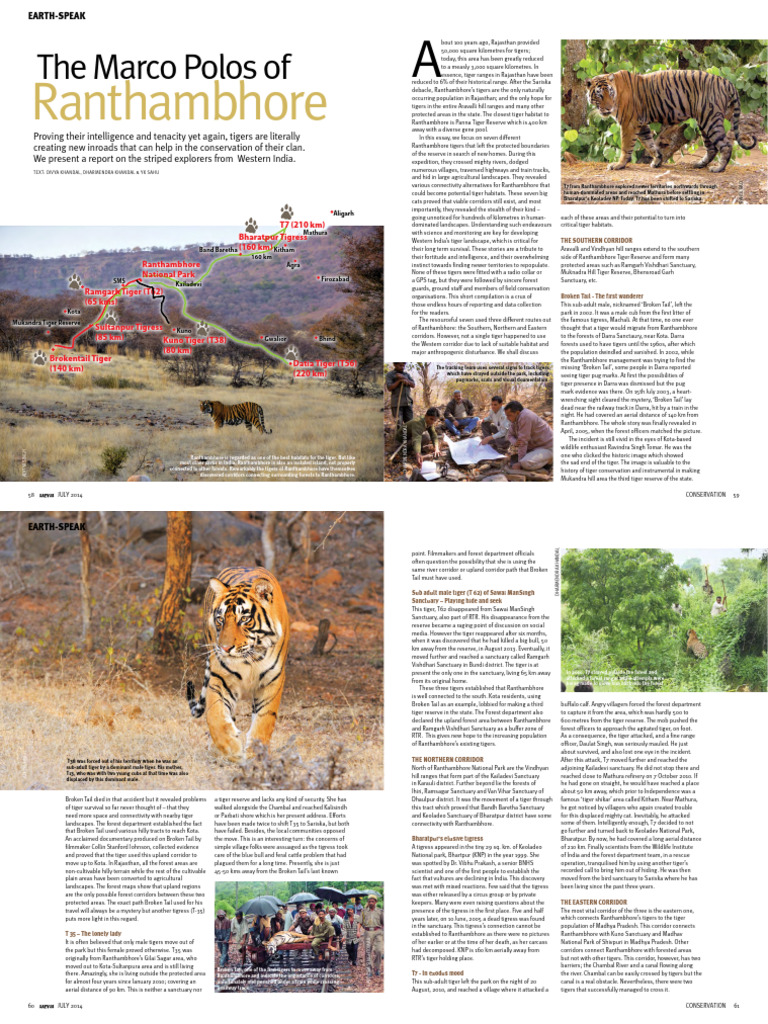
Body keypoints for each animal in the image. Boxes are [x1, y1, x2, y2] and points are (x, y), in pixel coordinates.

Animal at [186, 566, 290, 762]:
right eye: (220, 619)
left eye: (244, 619)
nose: (225, 648)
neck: (250, 659)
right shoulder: (220, 677)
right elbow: (216, 716)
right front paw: (232, 748)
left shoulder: (272, 681)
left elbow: (264, 721)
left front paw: (256, 755)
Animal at [586, 69, 756, 172]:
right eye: (599, 95)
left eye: (610, 93)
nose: (608, 108)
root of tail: (726, 81)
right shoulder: (641, 124)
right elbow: (650, 144)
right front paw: (657, 161)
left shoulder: (629, 124)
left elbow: (626, 147)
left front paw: (619, 165)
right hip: (704, 122)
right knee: (712, 148)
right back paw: (700, 164)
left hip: (711, 119)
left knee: (726, 145)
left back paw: (718, 168)